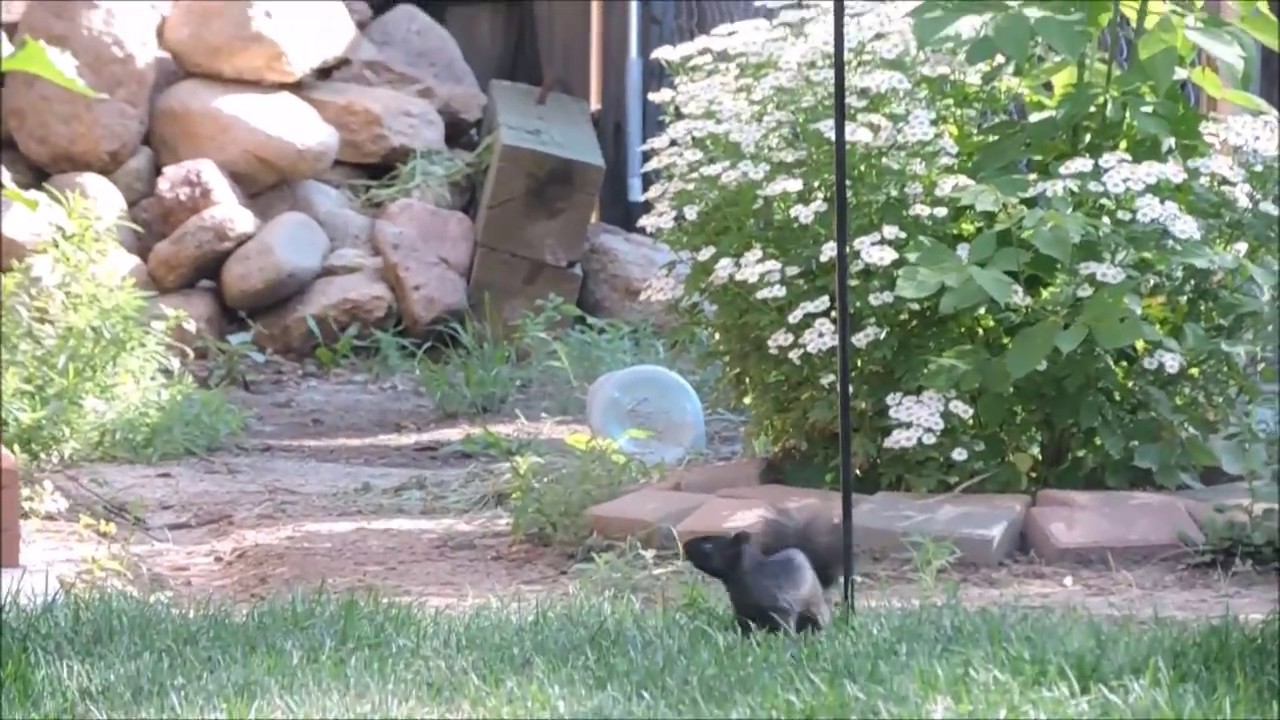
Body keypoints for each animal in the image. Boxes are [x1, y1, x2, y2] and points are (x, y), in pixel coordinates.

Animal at [681, 508, 848, 636]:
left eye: (708, 547)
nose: (685, 545)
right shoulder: (743, 612)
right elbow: (744, 626)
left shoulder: (781, 608)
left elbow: (786, 626)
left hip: (814, 607)